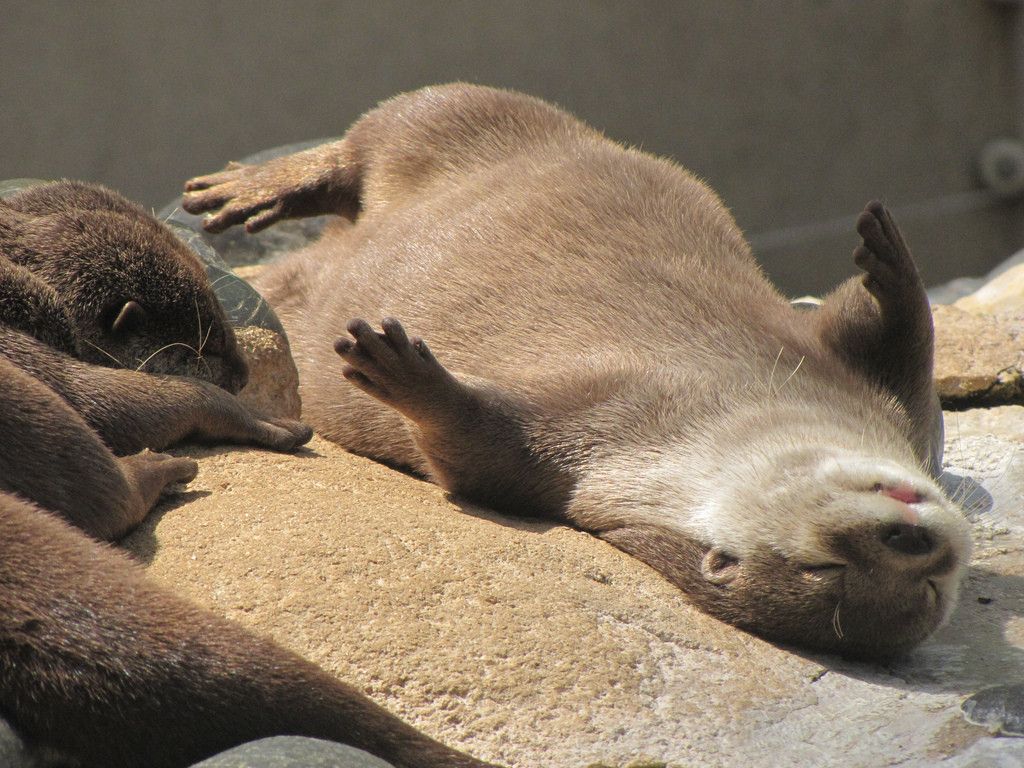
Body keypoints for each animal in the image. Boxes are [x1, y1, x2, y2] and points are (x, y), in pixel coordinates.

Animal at [183, 83, 971, 658]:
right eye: (827, 568)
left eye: (928, 590)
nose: (915, 541)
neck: (721, 408)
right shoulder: (838, 371)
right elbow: (900, 343)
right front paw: (890, 260)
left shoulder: (570, 455)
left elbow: (468, 450)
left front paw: (406, 378)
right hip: (487, 121)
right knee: (390, 127)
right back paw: (253, 189)